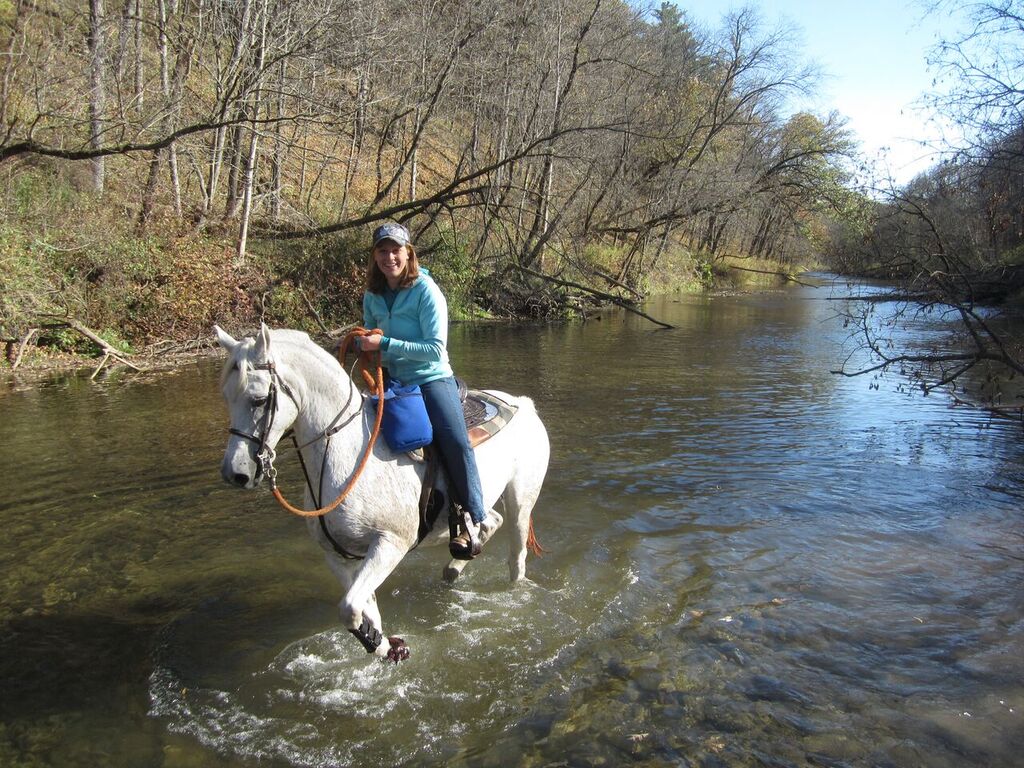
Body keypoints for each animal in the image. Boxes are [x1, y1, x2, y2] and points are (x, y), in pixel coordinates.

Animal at [215, 324, 550, 660]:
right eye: (227, 397)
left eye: (258, 400)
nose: (236, 473)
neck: (346, 453)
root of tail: (524, 404)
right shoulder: (339, 556)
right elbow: (364, 608)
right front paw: (388, 646)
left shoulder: (390, 545)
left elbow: (349, 608)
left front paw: (383, 644)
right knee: (489, 522)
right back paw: (453, 568)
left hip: (521, 502)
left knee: (516, 557)